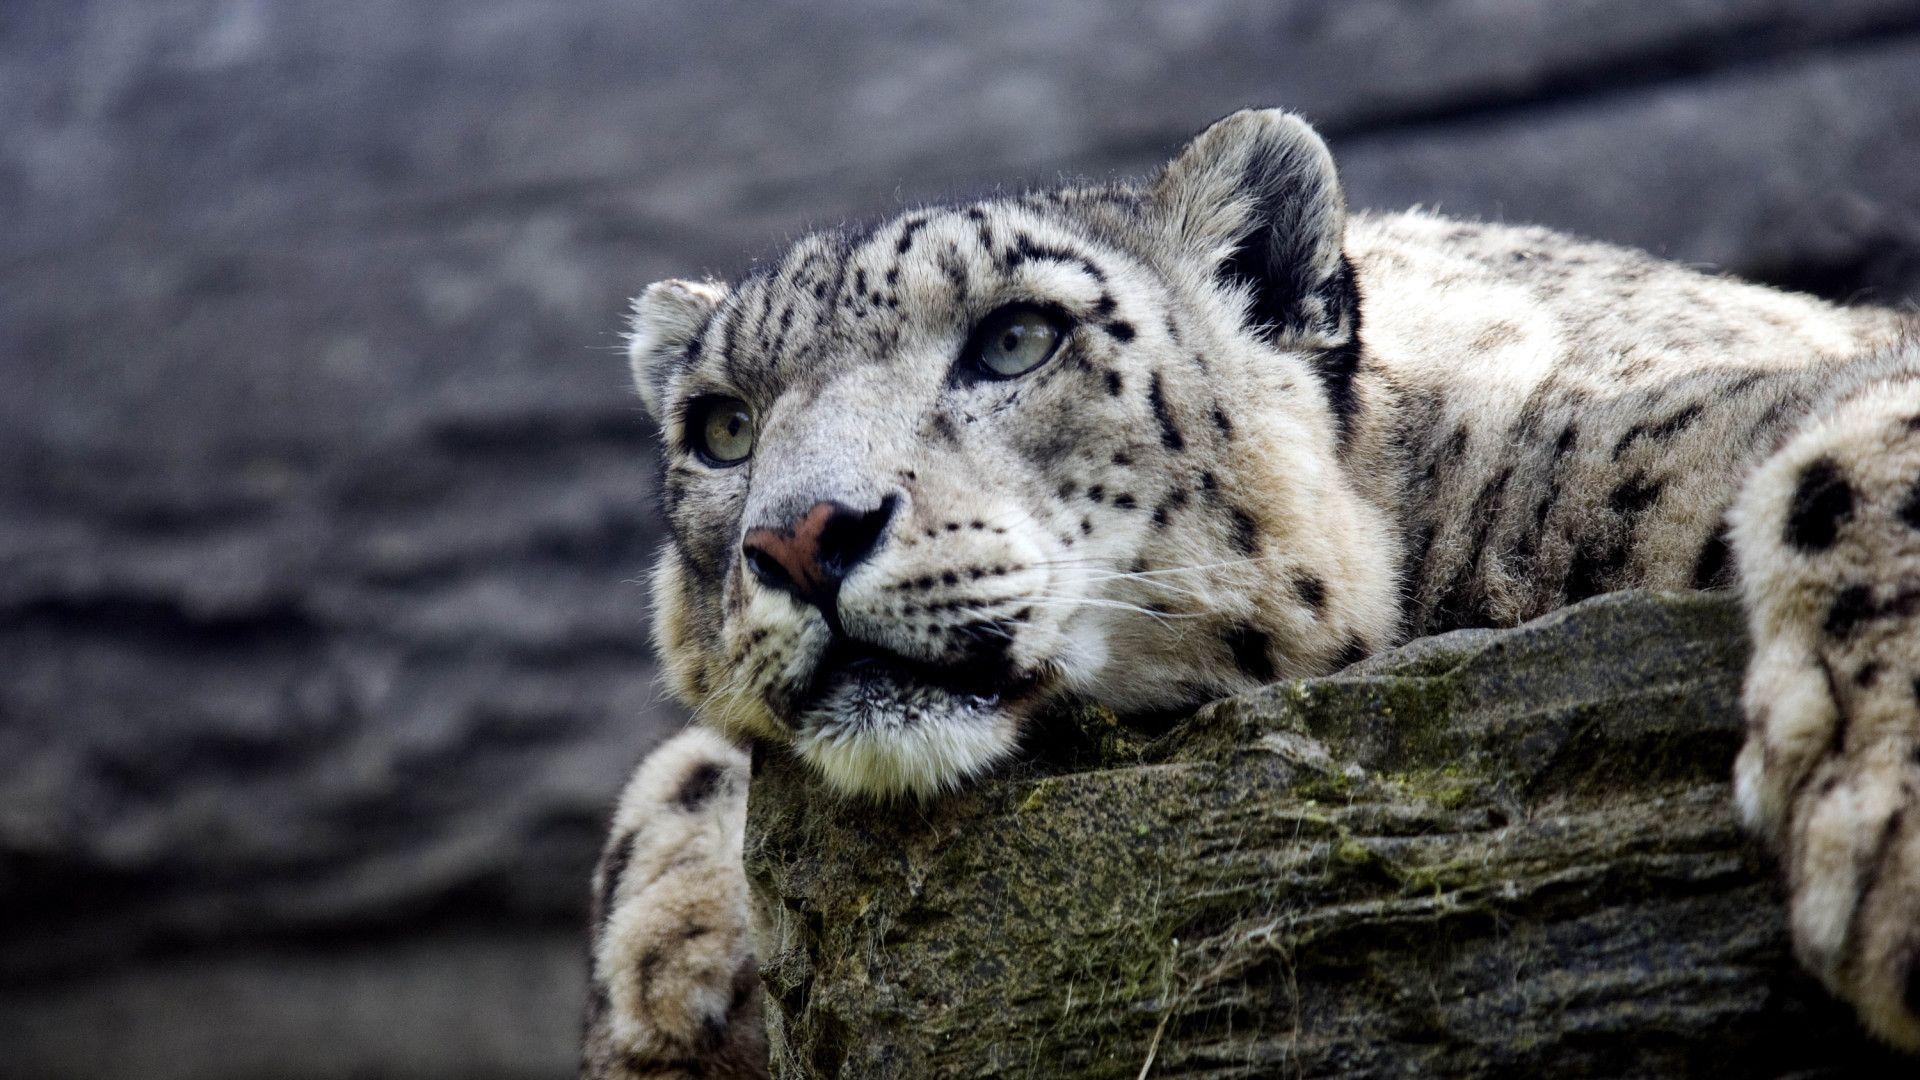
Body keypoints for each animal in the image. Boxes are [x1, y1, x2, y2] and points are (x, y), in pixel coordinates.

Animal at [580, 109, 1920, 1078]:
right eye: (722, 426)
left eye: (1017, 338)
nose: (802, 538)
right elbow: (686, 762)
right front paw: (660, 981)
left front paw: (1890, 848)